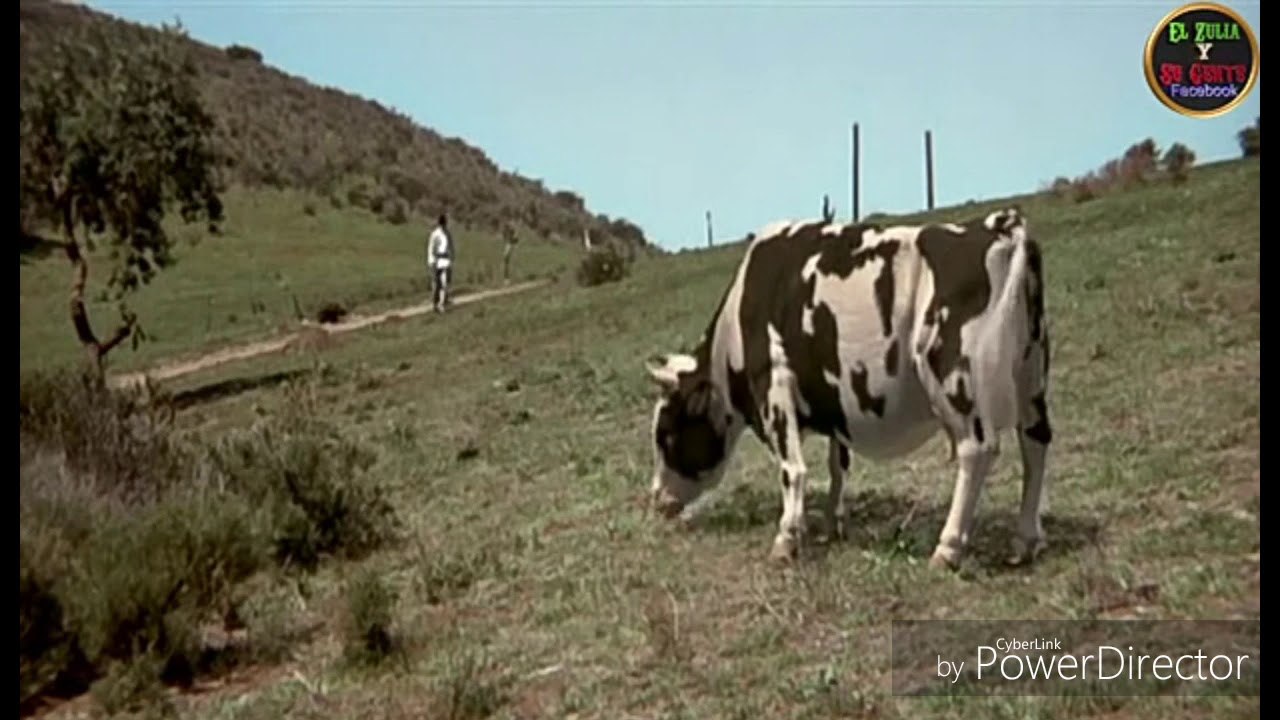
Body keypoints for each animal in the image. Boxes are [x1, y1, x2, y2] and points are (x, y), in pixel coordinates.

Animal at [644, 208, 1052, 569]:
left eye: (666, 434)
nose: (656, 498)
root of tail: (1001, 224)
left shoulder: (773, 384)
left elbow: (793, 468)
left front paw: (787, 538)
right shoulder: (833, 397)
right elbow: (837, 461)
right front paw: (832, 523)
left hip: (956, 377)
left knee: (977, 450)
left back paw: (948, 548)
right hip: (1031, 376)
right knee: (1035, 439)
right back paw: (1025, 541)